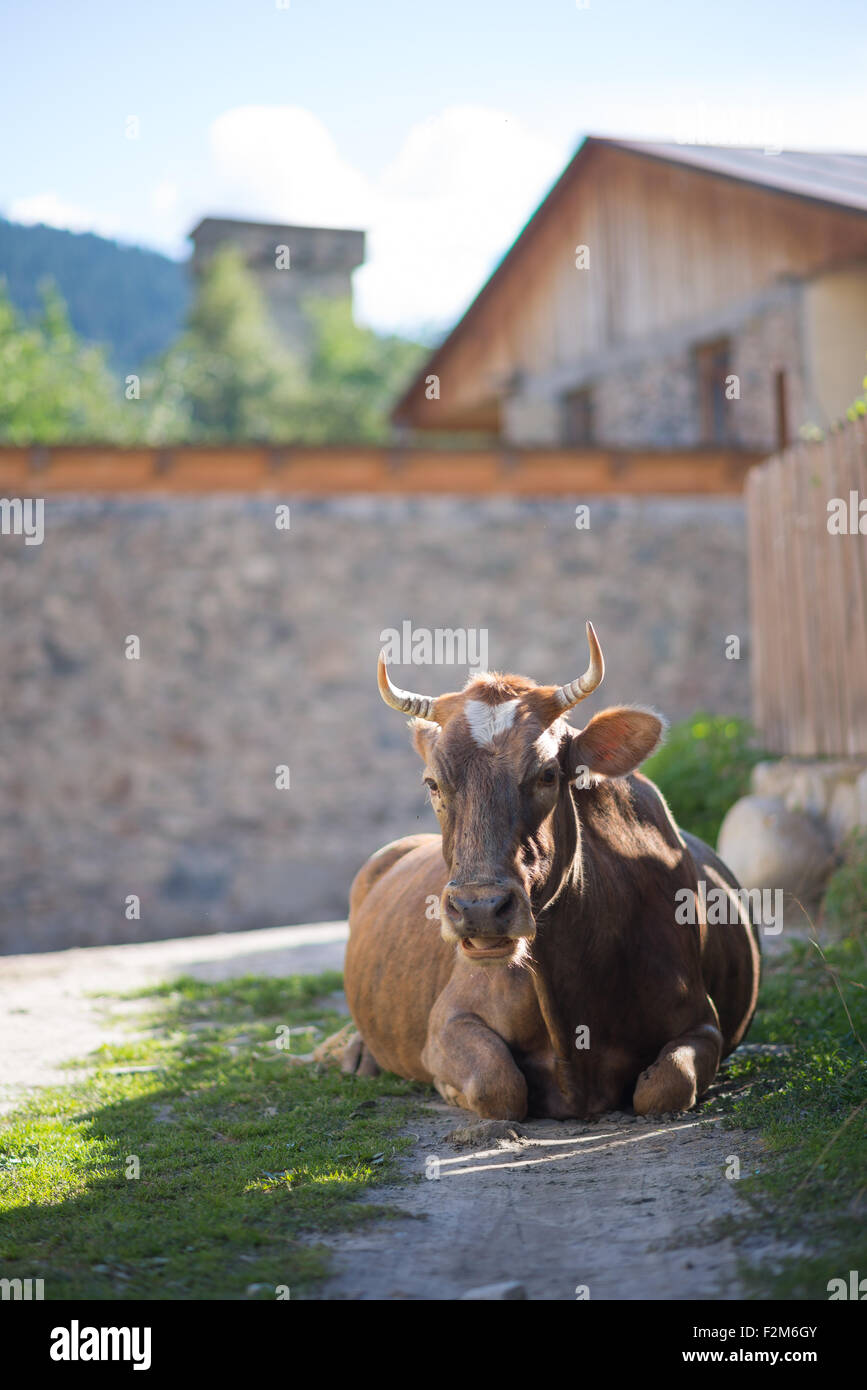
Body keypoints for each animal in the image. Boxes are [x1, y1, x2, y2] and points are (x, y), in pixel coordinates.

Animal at [336, 623, 760, 1120]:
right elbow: (497, 1085)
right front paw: (450, 1090)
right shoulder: (448, 1020)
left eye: (547, 774)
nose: (480, 909)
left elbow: (665, 1086)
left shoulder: (702, 1022)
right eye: (433, 783)